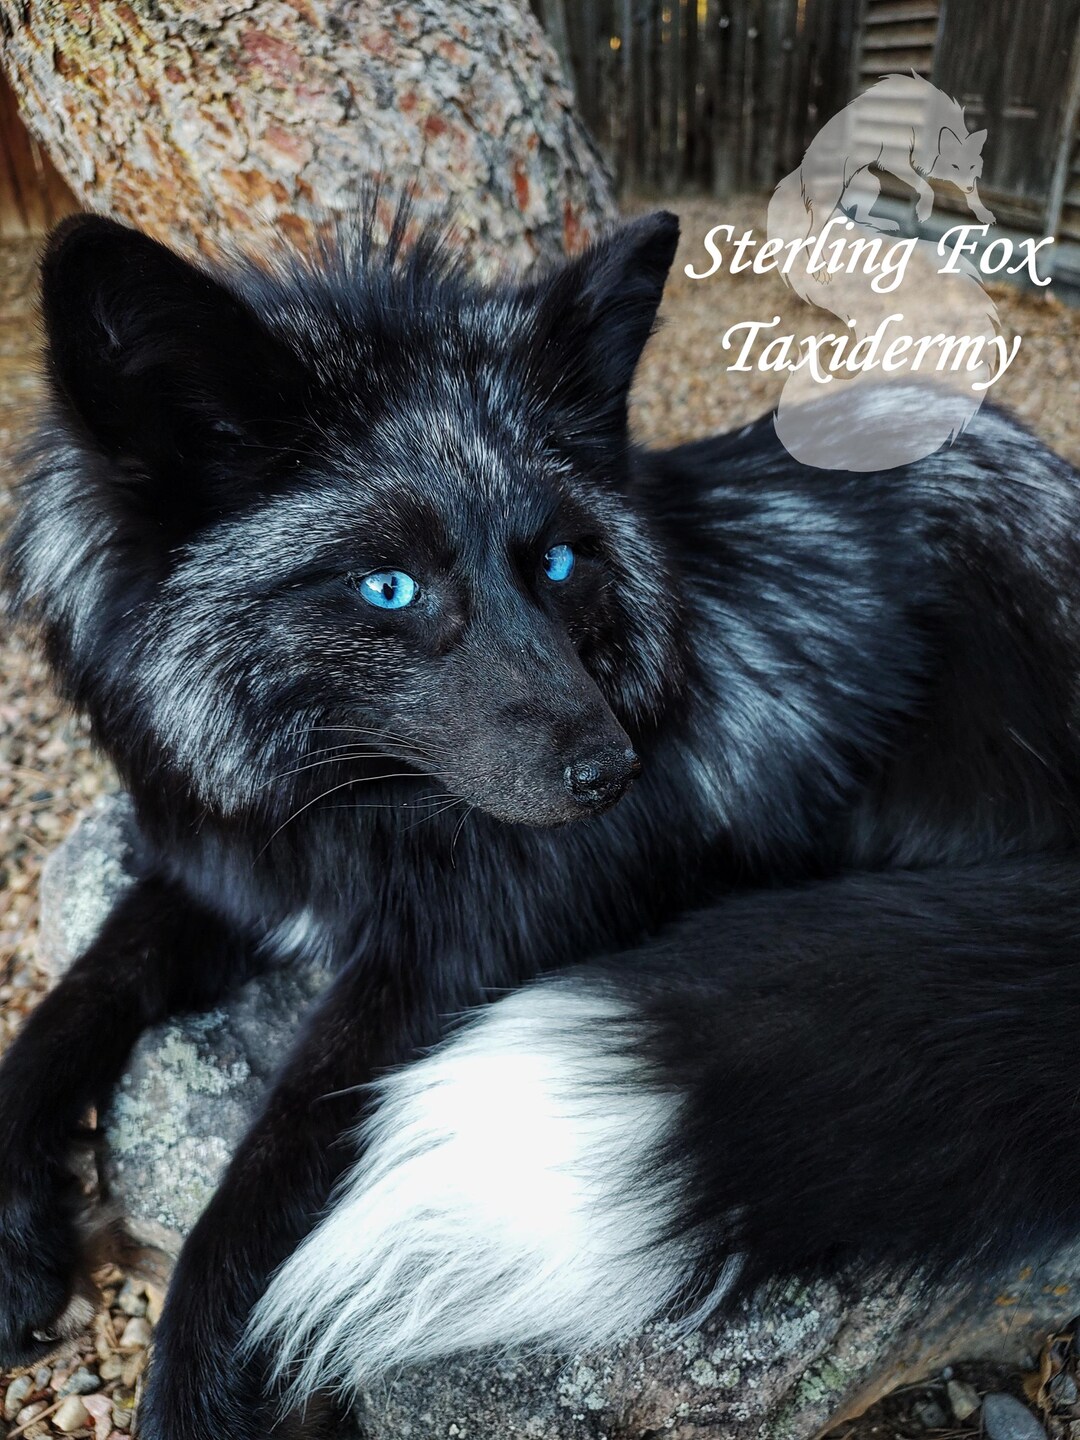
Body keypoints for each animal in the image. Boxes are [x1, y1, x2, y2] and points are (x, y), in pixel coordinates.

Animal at [3, 206, 1080, 1440]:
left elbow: (266, 1170)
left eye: (559, 561)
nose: (615, 772)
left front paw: (190, 1394)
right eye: (388, 587)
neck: (343, 813)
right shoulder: (215, 871)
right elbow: (66, 1011)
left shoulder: (456, 958)